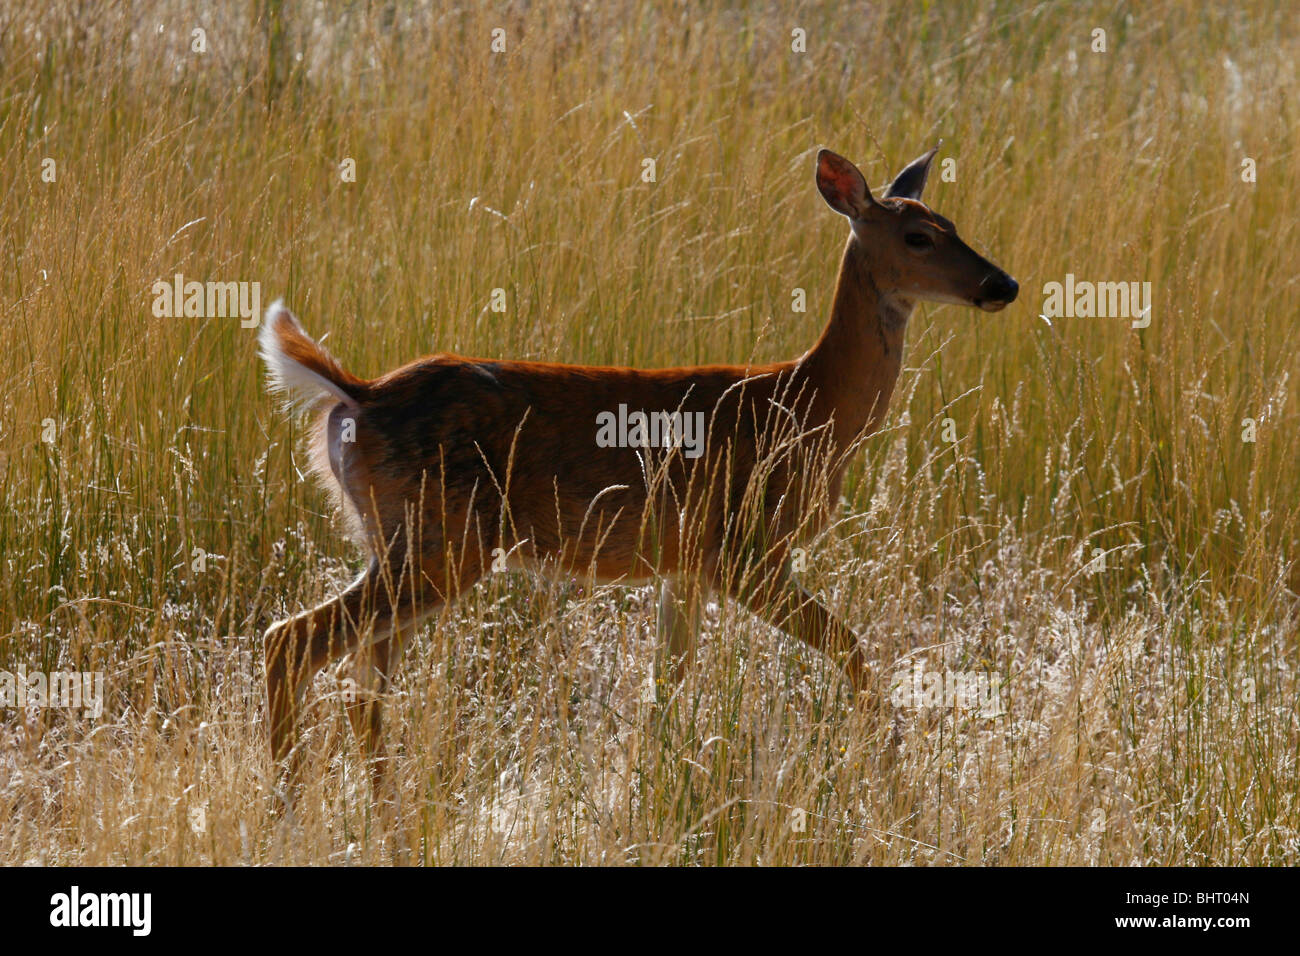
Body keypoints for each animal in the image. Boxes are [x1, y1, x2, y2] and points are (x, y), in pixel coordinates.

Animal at [261, 145, 1013, 790]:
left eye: (953, 223)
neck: (806, 404)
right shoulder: (744, 550)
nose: (1001, 283)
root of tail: (356, 394)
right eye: (918, 237)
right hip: (440, 542)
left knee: (359, 684)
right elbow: (855, 655)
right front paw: (890, 772)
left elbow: (668, 688)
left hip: (402, 539)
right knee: (291, 641)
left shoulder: (684, 563)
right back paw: (289, 801)